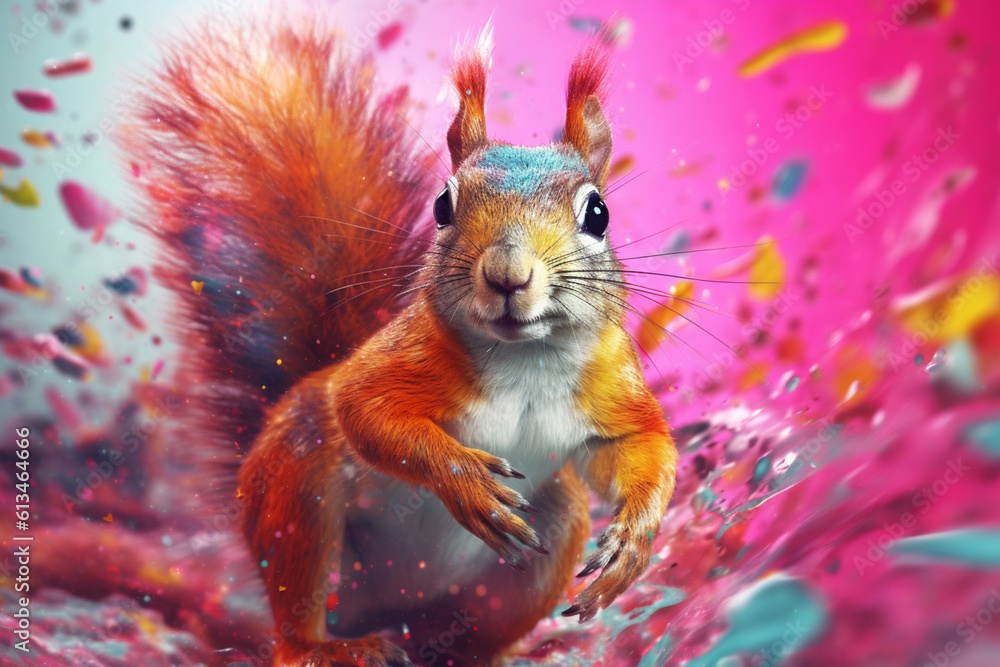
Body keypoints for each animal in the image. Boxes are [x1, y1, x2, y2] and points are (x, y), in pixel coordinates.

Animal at [123, 15, 678, 667]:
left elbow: (642, 445)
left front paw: (632, 544)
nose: (507, 273)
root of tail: (389, 610)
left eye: (598, 214)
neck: (526, 359)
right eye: (443, 205)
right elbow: (364, 409)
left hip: (553, 530)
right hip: (298, 481)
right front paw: (466, 484)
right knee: (295, 612)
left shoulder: (610, 381)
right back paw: (329, 648)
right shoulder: (399, 359)